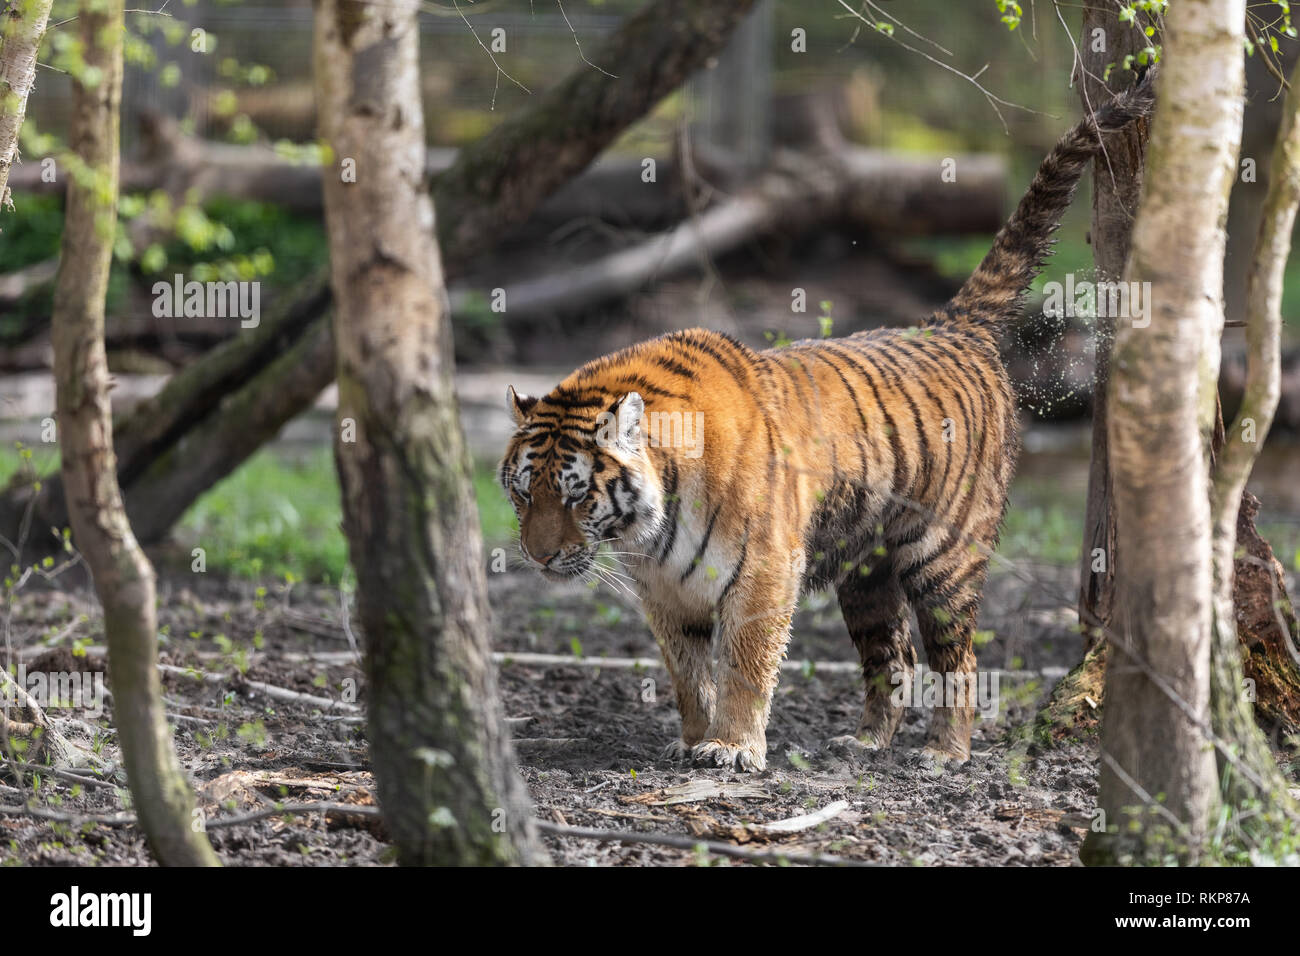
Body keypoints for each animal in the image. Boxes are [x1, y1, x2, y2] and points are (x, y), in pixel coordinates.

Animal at [498, 75, 1156, 772]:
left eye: (576, 495)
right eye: (522, 494)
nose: (537, 557)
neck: (648, 526)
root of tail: (951, 326)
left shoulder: (763, 570)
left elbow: (745, 663)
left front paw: (732, 748)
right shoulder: (665, 592)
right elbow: (687, 672)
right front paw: (694, 738)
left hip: (944, 554)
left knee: (960, 657)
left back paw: (945, 752)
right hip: (866, 575)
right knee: (893, 655)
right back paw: (865, 741)